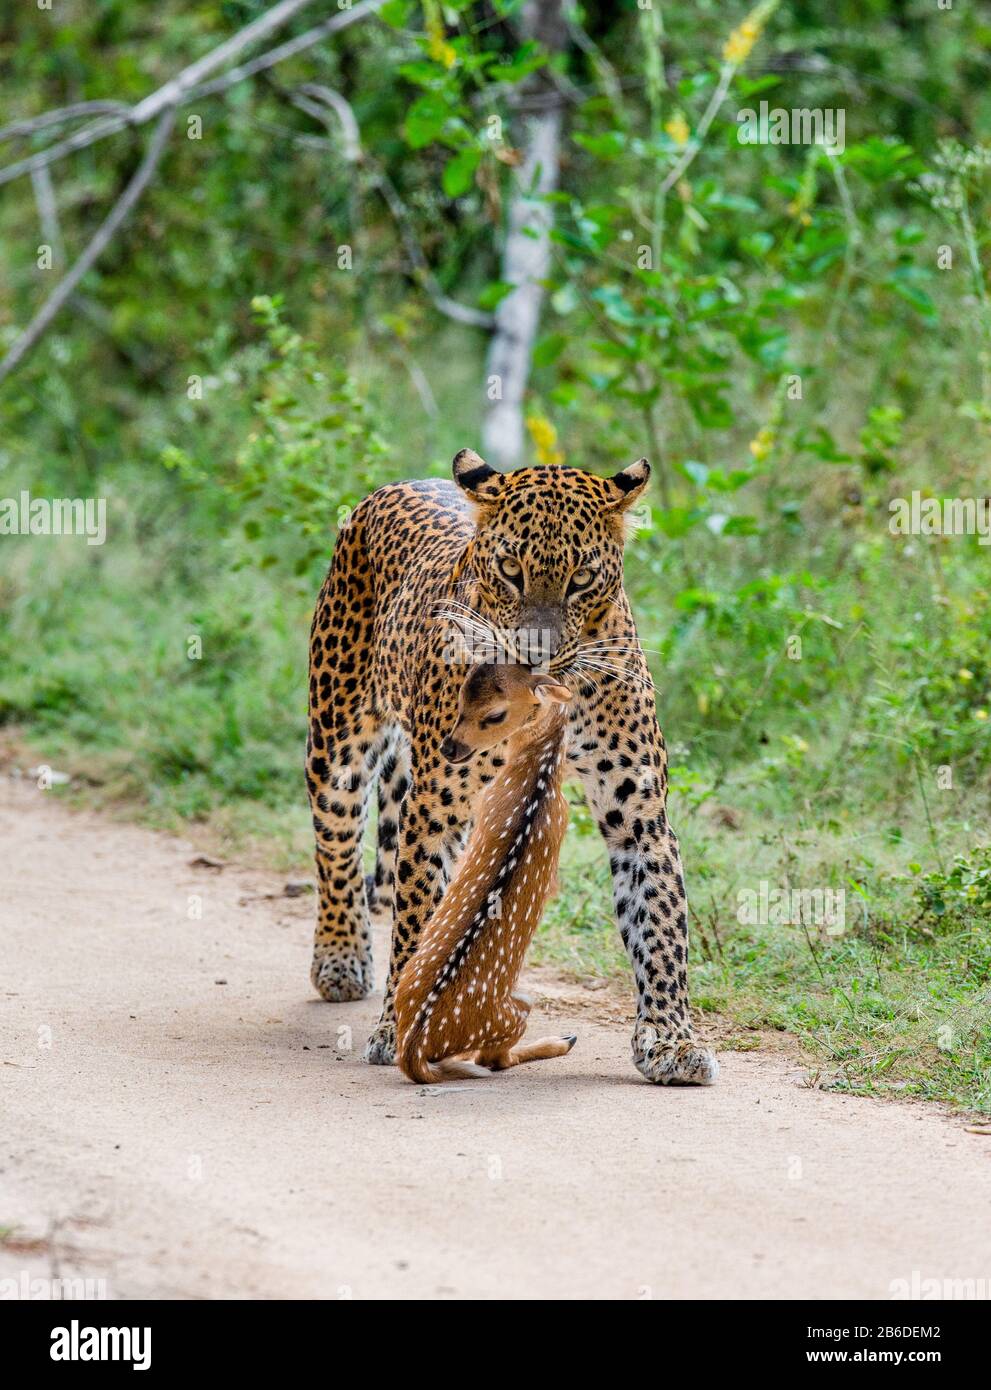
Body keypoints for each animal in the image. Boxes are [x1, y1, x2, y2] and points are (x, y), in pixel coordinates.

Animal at [305, 447, 718, 1085]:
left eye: (581, 579)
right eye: (509, 570)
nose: (536, 654)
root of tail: (400, 484)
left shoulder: (639, 815)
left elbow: (661, 923)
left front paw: (671, 1039)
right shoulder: (438, 807)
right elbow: (417, 920)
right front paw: (397, 1024)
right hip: (337, 742)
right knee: (337, 847)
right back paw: (341, 959)